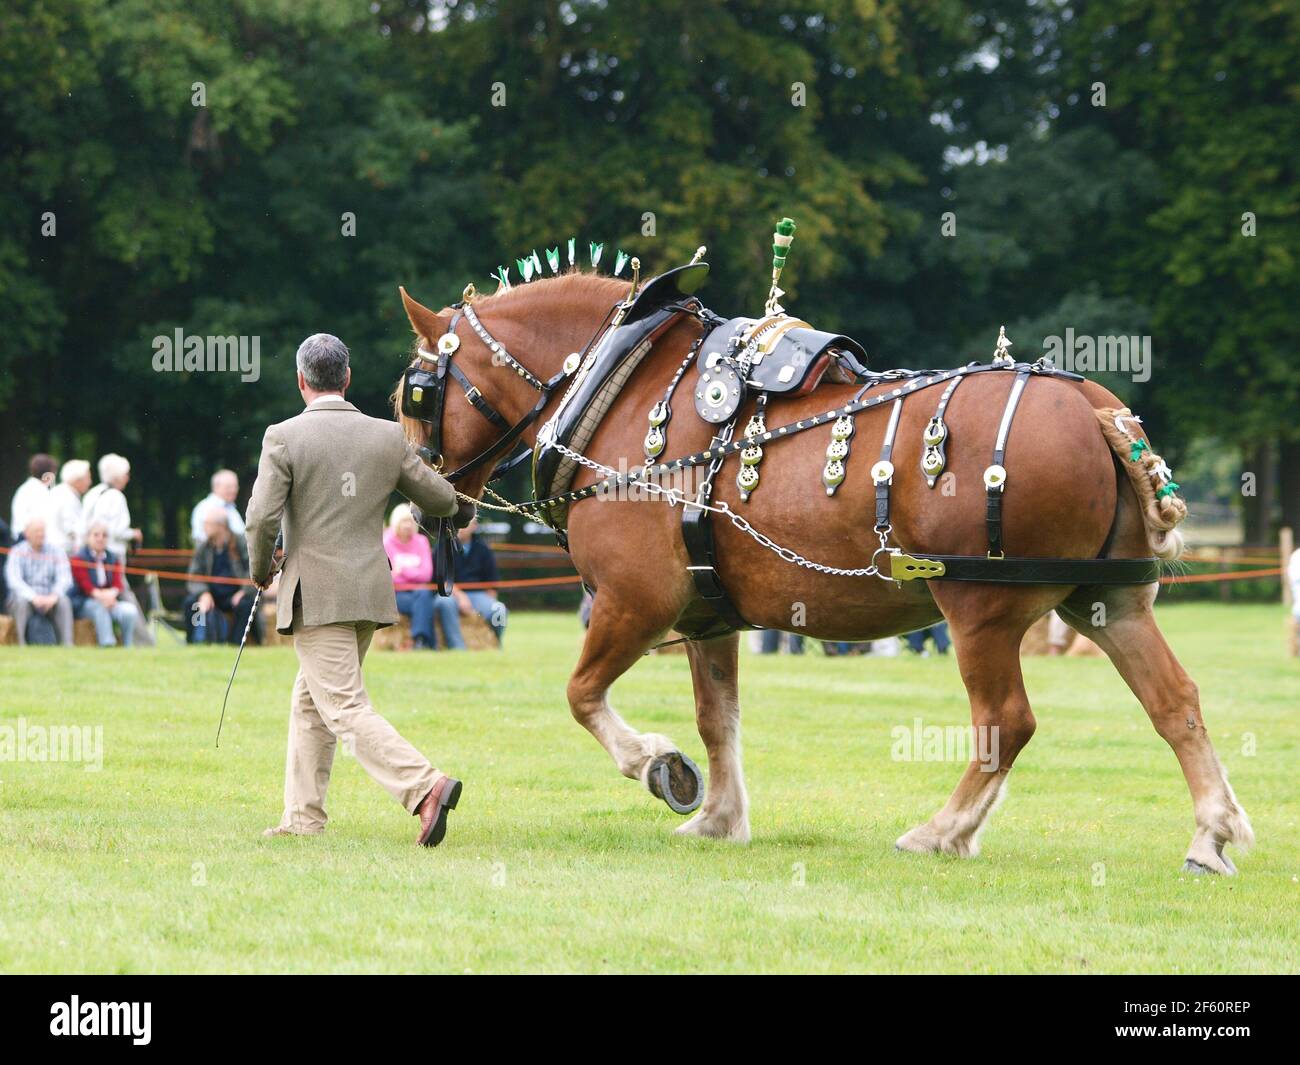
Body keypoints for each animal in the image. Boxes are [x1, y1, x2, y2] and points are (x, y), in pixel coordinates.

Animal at [393, 269, 1253, 875]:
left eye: (417, 392)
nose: (426, 491)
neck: (617, 383)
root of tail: (1098, 409)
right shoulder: (706, 614)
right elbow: (718, 718)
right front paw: (720, 816)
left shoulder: (636, 600)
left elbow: (581, 695)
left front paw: (660, 769)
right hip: (1109, 602)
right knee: (1175, 703)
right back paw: (1211, 832)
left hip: (980, 608)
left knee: (1006, 721)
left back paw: (943, 830)